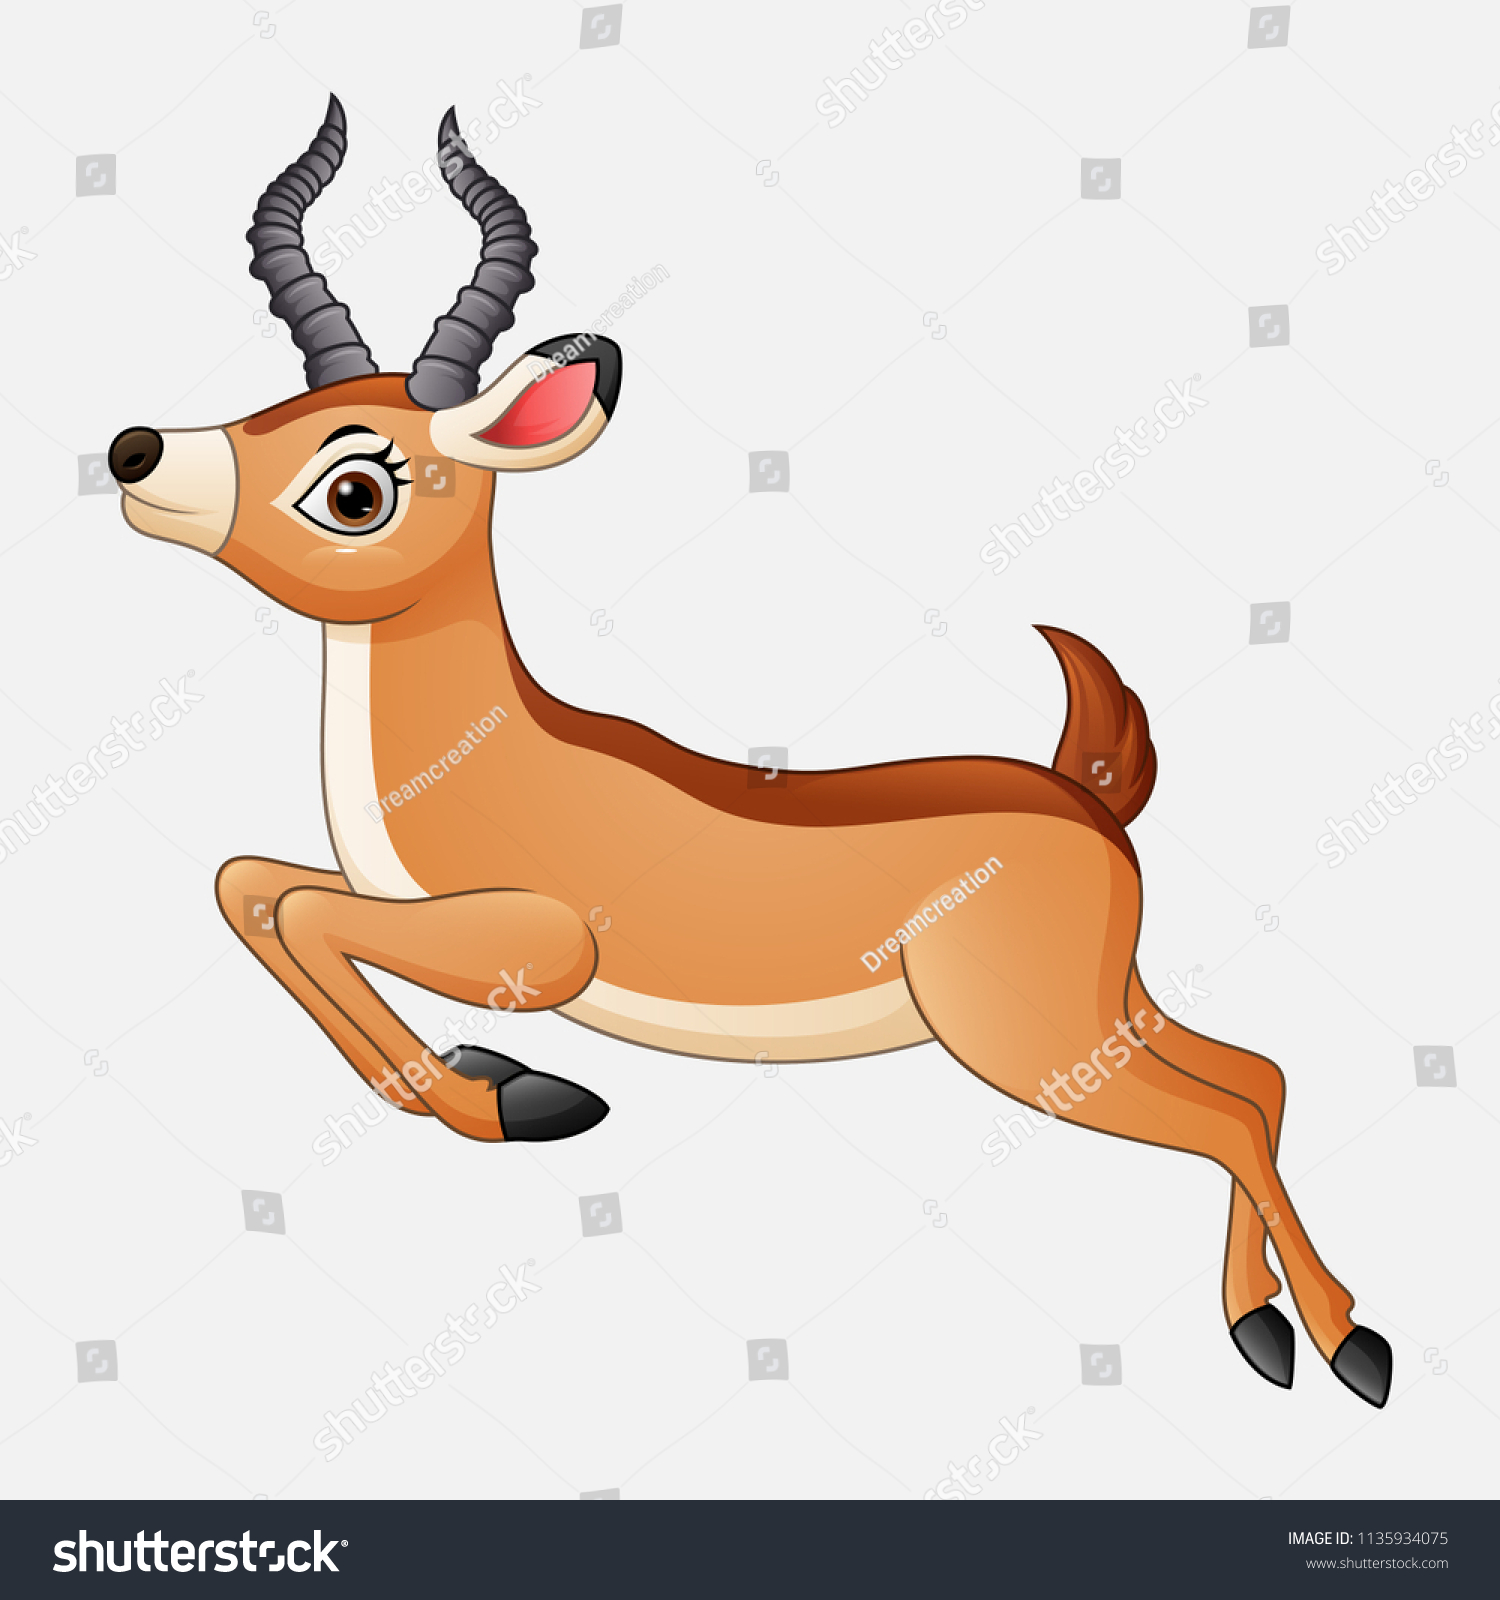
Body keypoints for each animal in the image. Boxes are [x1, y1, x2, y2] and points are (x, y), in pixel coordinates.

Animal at [110, 97, 1392, 1408]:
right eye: (273, 412)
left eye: (356, 486)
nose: (136, 451)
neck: (475, 760)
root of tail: (1085, 799)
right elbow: (250, 886)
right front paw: (508, 1084)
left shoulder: (540, 946)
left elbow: (302, 911)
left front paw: (528, 1097)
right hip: (1106, 1015)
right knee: (1259, 1075)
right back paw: (1269, 1330)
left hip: (1037, 1048)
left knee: (1227, 1113)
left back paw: (1352, 1346)